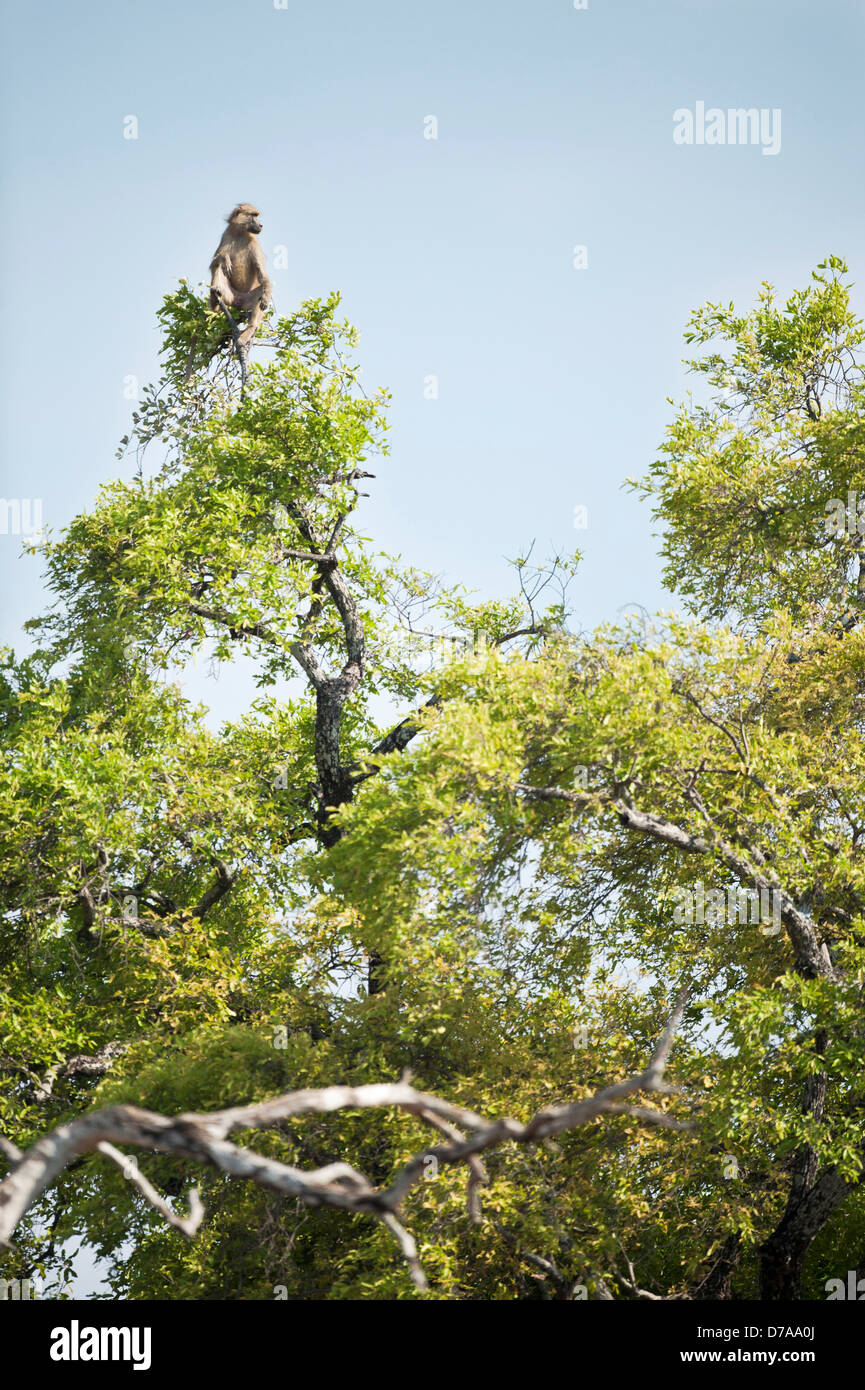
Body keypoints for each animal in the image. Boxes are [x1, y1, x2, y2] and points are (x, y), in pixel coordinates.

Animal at [209, 203, 272, 347]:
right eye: (254, 215)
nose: (261, 225)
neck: (240, 233)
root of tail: (238, 301)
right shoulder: (226, 236)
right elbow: (214, 263)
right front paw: (224, 258)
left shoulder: (255, 243)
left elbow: (262, 275)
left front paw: (266, 297)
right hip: (229, 295)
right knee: (219, 268)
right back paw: (214, 297)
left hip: (247, 300)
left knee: (259, 296)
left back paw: (249, 330)